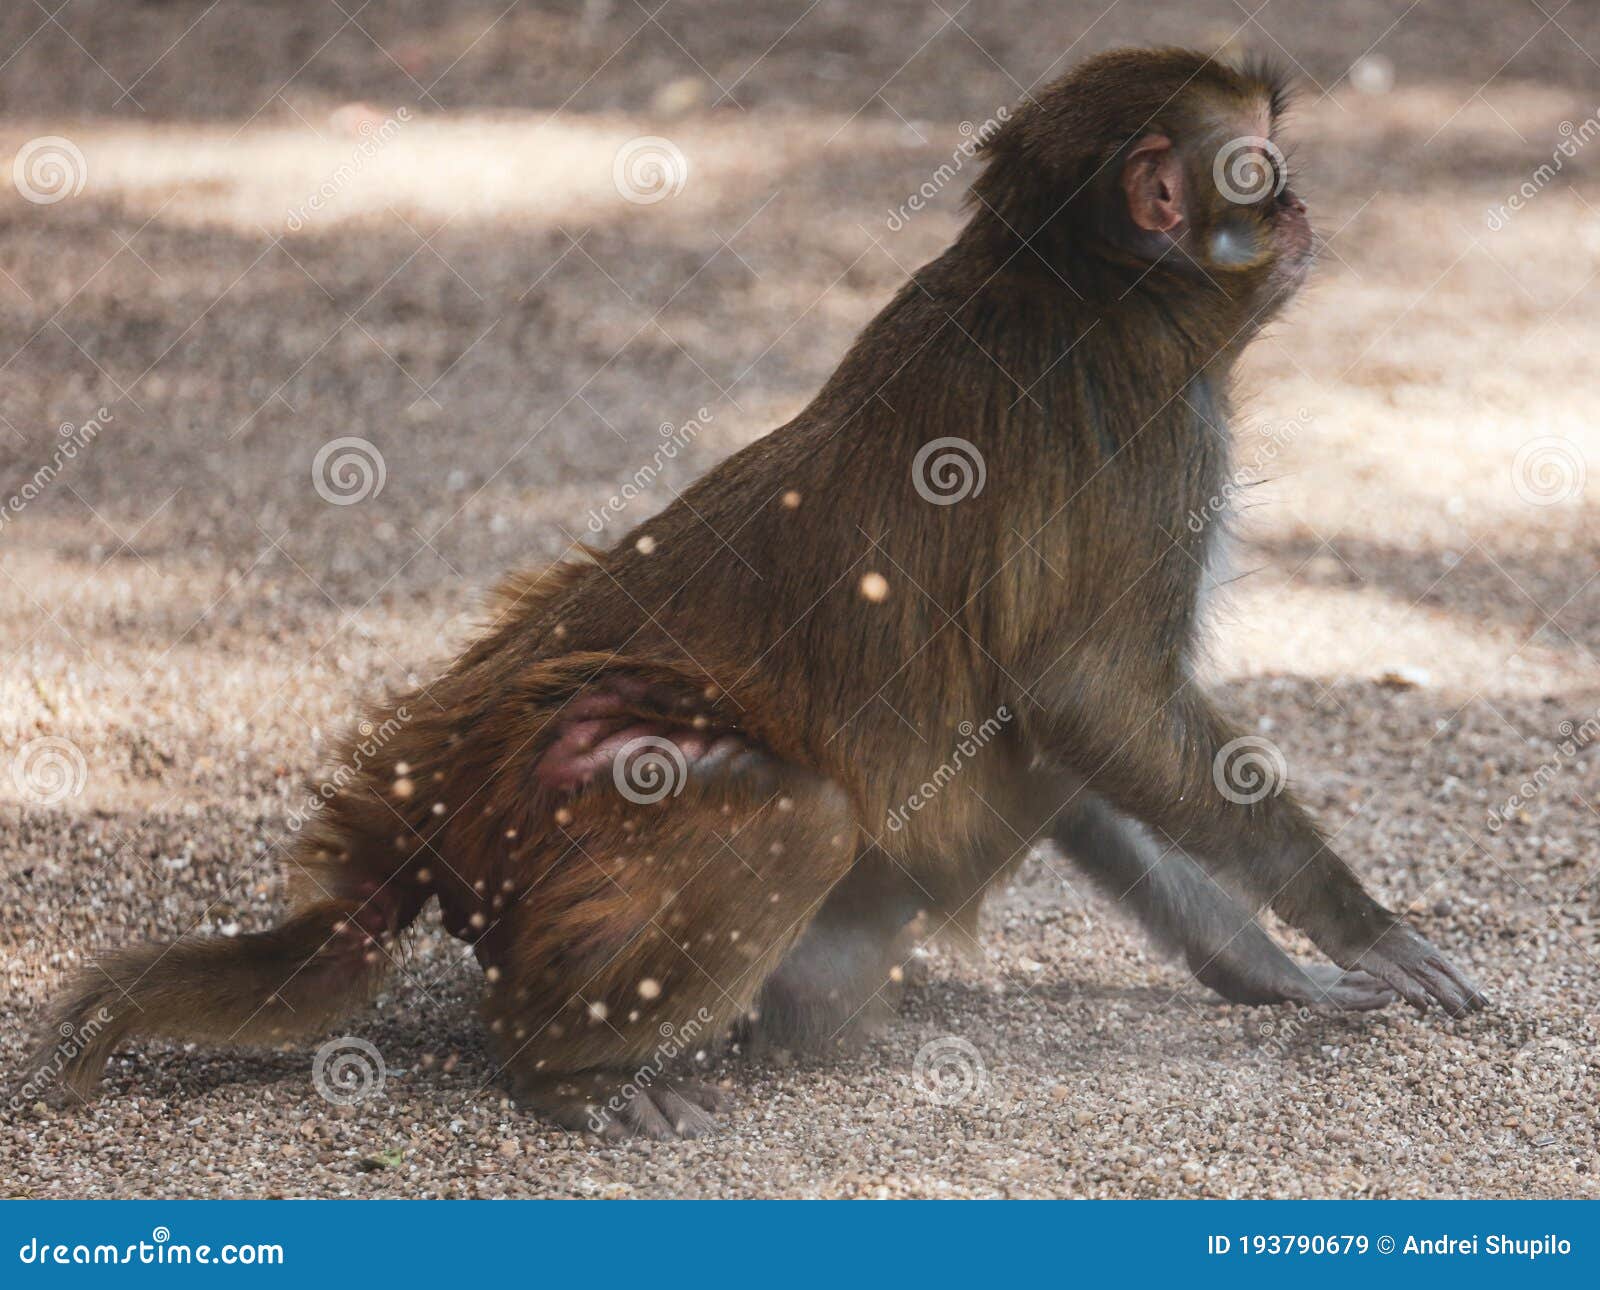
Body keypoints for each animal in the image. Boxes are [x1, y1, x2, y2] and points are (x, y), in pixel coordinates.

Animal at [37, 47, 1484, 1140]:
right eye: (1259, 166)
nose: (1299, 209)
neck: (1078, 279)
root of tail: (442, 794)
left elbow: (1058, 719)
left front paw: (1270, 969)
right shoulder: (1160, 439)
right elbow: (1089, 692)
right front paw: (1353, 923)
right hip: (567, 808)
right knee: (799, 809)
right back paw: (559, 1066)